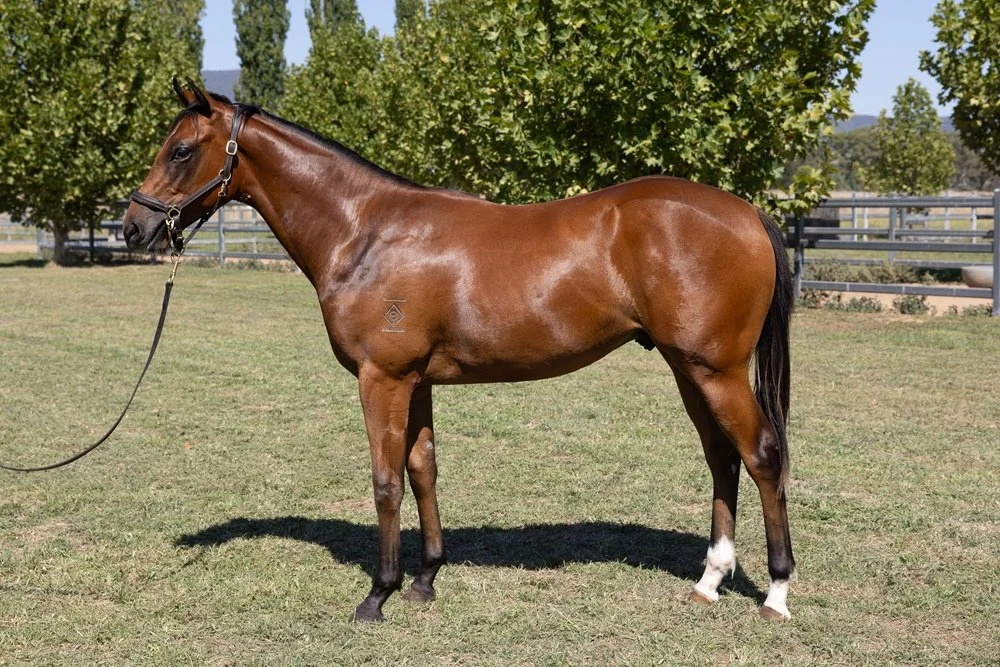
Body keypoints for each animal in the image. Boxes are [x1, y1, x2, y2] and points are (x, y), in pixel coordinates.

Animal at [124, 81, 795, 622]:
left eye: (180, 151)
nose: (135, 227)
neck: (366, 231)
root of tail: (748, 212)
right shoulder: (416, 381)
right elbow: (423, 470)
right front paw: (425, 579)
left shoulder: (382, 378)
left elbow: (386, 481)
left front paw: (379, 593)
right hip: (690, 370)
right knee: (722, 459)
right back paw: (709, 582)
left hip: (717, 371)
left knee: (761, 455)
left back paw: (776, 593)